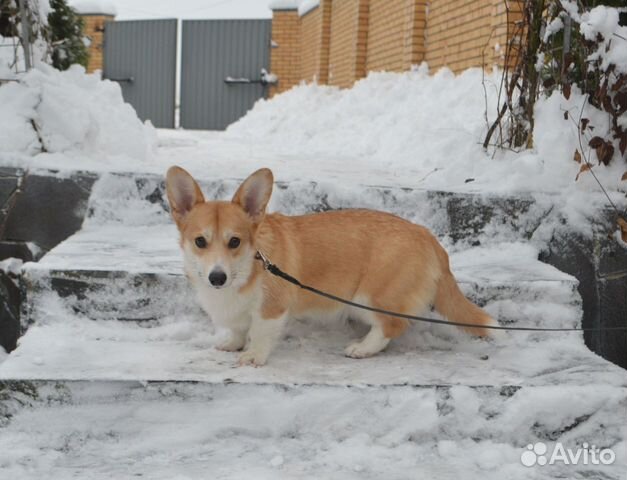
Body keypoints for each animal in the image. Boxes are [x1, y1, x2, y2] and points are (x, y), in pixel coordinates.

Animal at [164, 167, 498, 366]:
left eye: (234, 241)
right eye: (200, 241)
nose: (216, 277)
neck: (249, 266)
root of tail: (429, 237)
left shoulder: (272, 308)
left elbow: (259, 333)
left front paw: (253, 356)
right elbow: (237, 328)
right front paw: (232, 344)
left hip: (367, 296)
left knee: (392, 325)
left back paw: (362, 348)